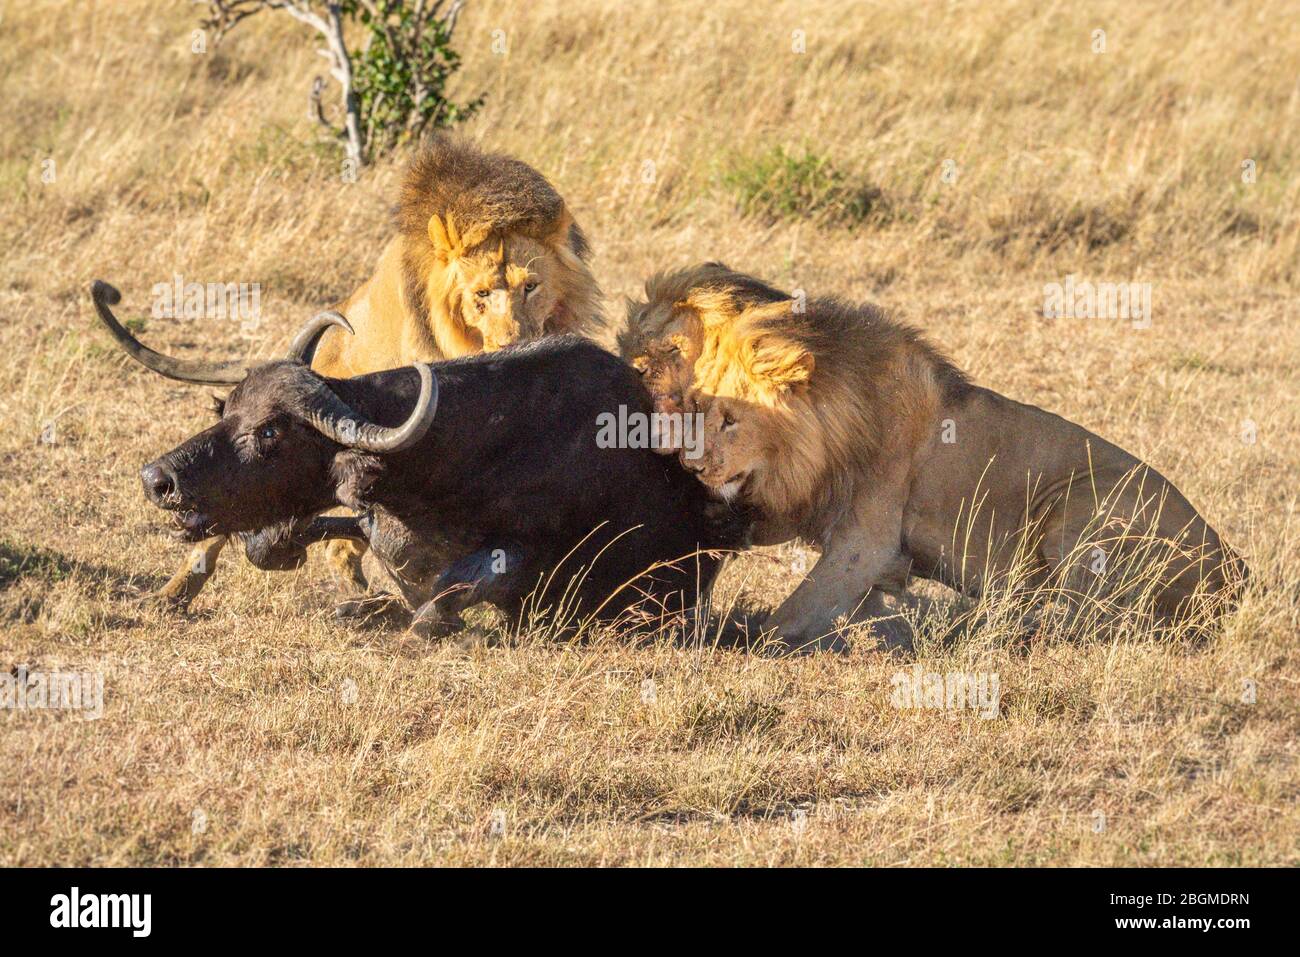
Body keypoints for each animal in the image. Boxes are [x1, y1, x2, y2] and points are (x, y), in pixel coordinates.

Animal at [665, 268, 1246, 653]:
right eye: (696, 409)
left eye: (731, 419)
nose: (692, 468)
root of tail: (1237, 572)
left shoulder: (866, 540)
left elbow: (791, 613)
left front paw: (737, 640)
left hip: (1076, 507)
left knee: (1106, 620)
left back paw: (1003, 625)